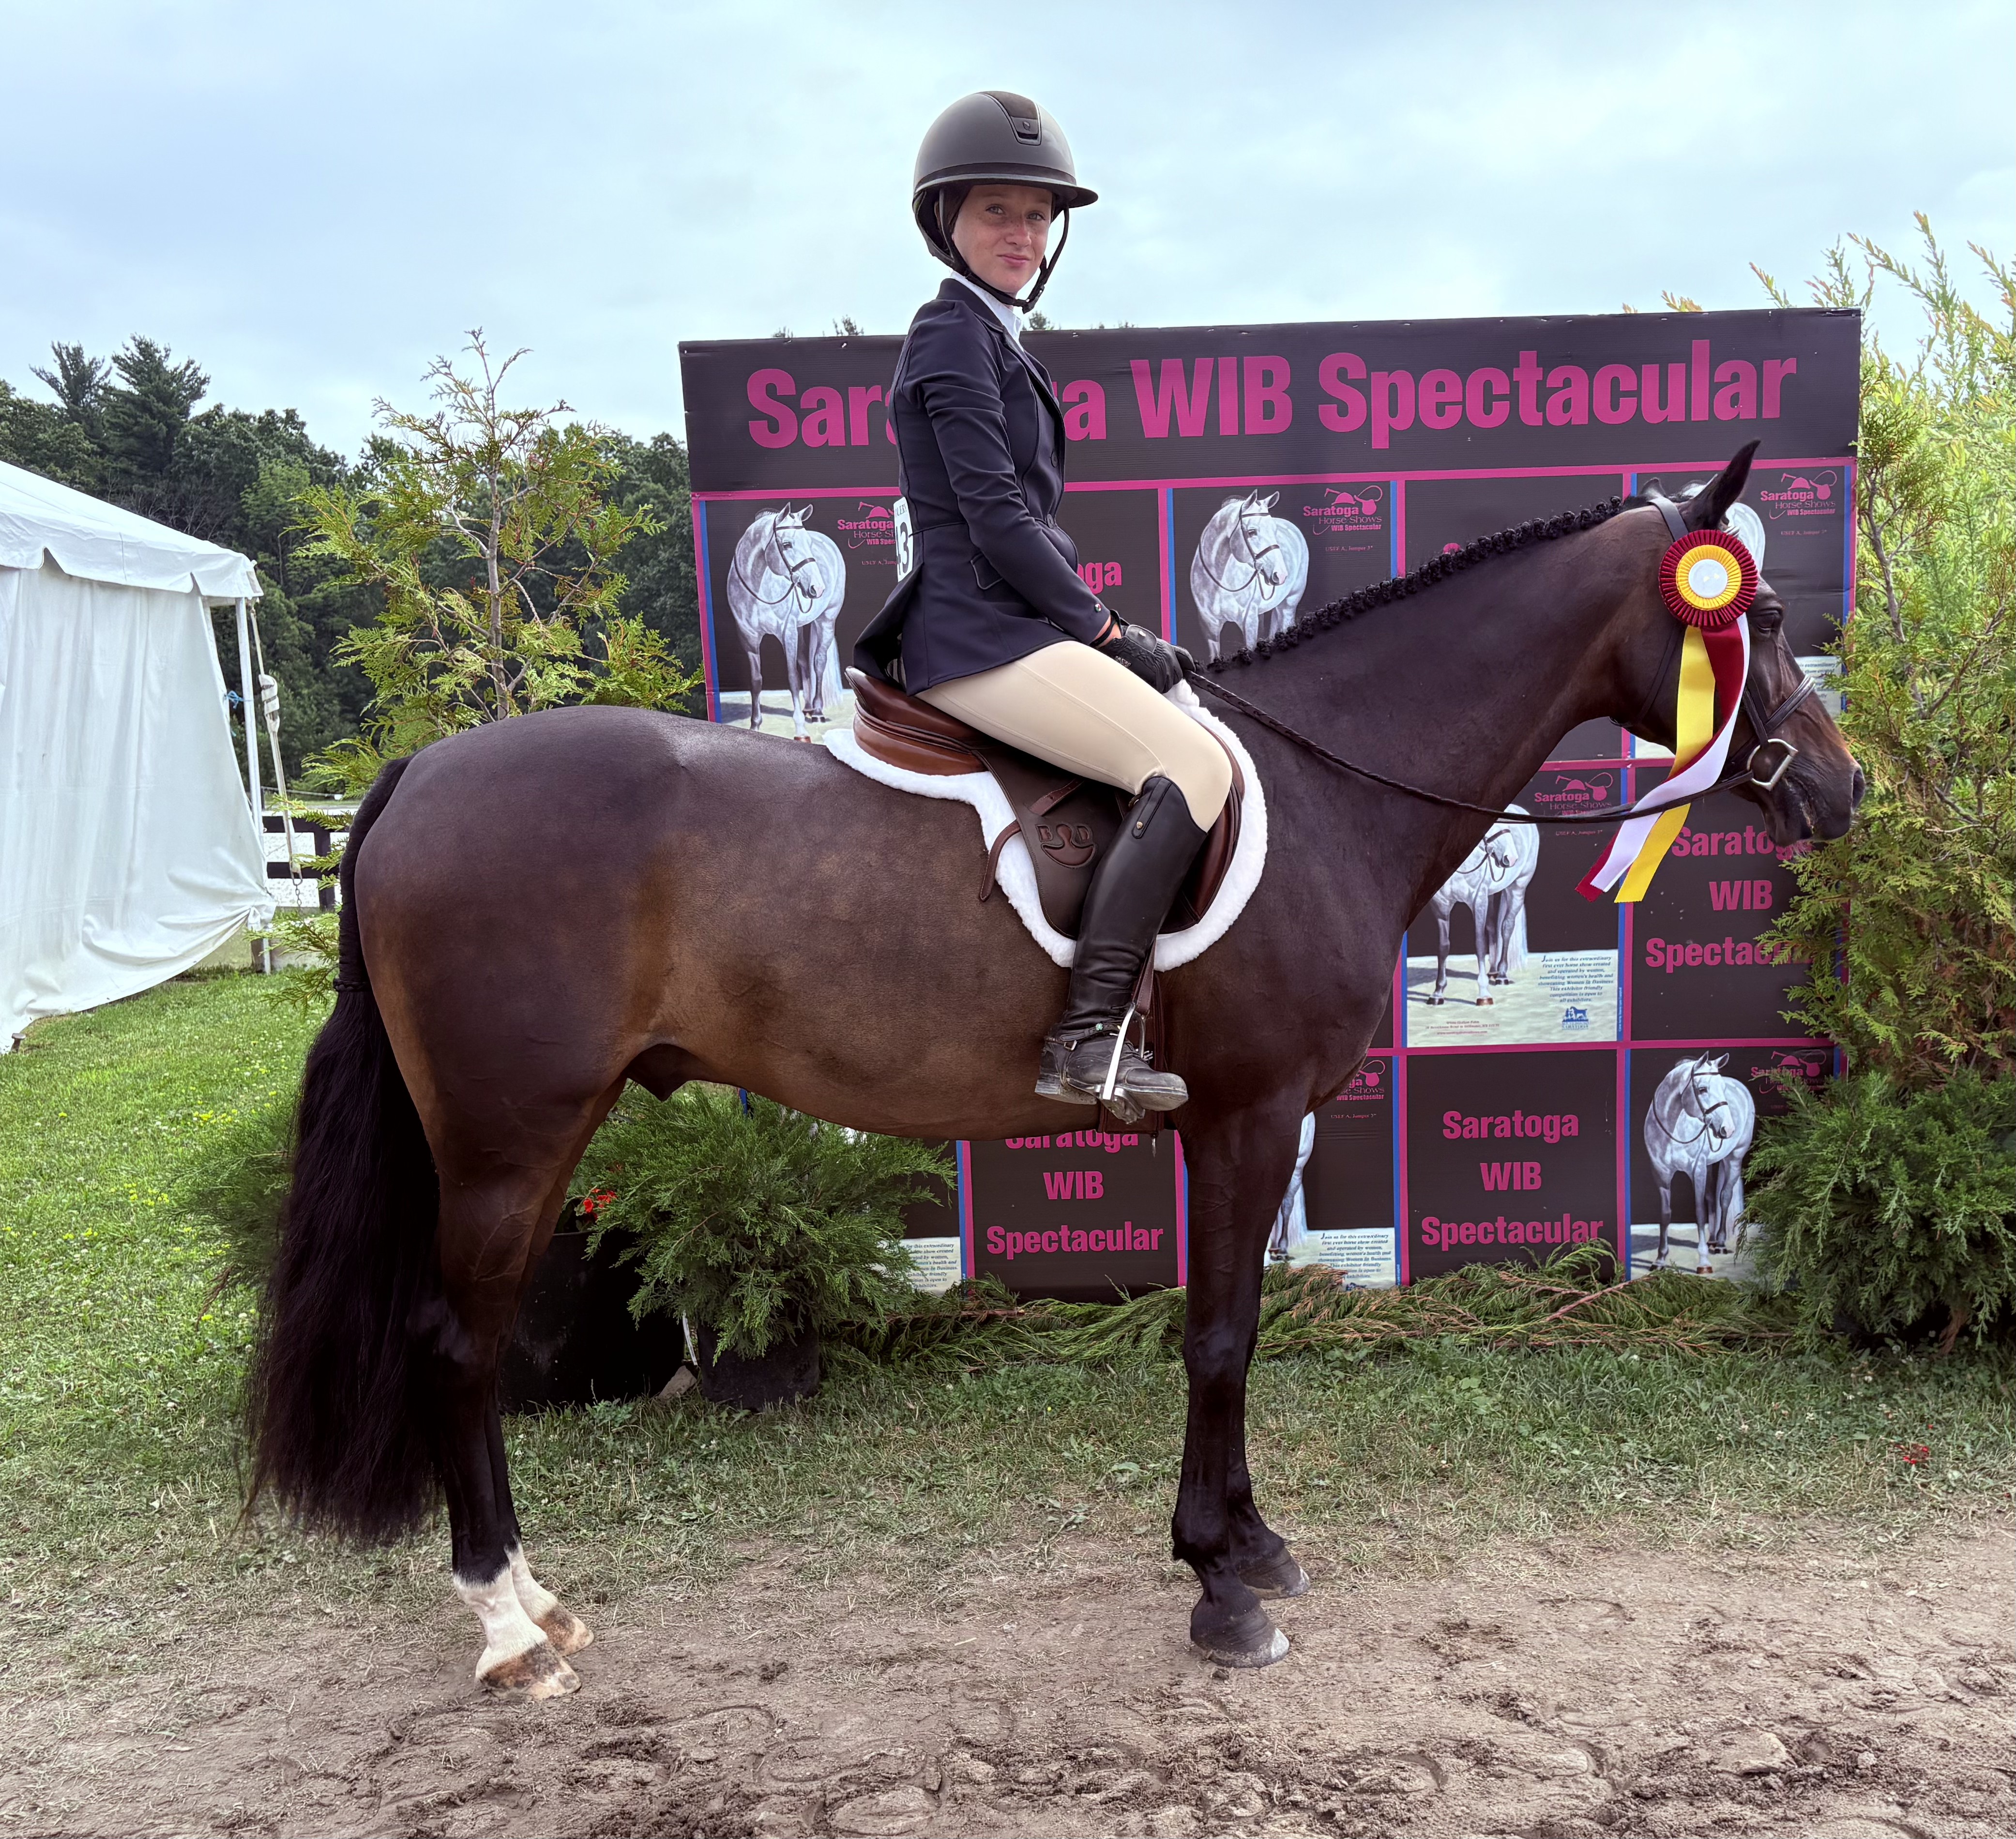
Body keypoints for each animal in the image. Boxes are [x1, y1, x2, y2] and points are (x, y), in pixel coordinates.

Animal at [725, 505, 845, 738]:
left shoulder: (787, 633)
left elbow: (792, 678)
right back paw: (808, 708)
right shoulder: (749, 637)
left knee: (818, 662)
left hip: (826, 620)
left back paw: (817, 712)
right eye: (787, 544)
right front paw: (755, 724)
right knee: (805, 662)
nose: (818, 588)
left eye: (809, 544)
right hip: (801, 628)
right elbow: (756, 681)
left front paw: (801, 730)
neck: (758, 588)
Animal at [1190, 490, 1309, 665]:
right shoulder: (1209, 627)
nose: (1280, 574)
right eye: (1252, 532)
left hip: (1289, 603)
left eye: (1274, 530)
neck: (1220, 583)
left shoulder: (1249, 622)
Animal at [1424, 811, 1540, 1005]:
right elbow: (1443, 947)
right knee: (1492, 927)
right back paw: (1493, 972)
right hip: (1491, 895)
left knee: (1507, 927)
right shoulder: (1441, 907)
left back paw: (1501, 975)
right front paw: (1438, 993)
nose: (1511, 858)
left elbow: (1479, 944)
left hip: (1517, 888)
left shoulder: (1478, 901)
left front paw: (1484, 994)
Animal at [1642, 1052, 1757, 1274]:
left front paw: (1704, 1263)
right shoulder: (1661, 1174)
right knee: (1711, 1197)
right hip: (1711, 1165)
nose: (1728, 1129)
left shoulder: (1697, 1171)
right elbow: (1666, 1215)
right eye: (1703, 1089)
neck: (1674, 1130)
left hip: (1734, 1159)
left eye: (1723, 1088)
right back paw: (1712, 1241)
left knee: (1724, 1197)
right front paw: (1660, 1260)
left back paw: (1719, 1244)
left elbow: (1699, 1213)